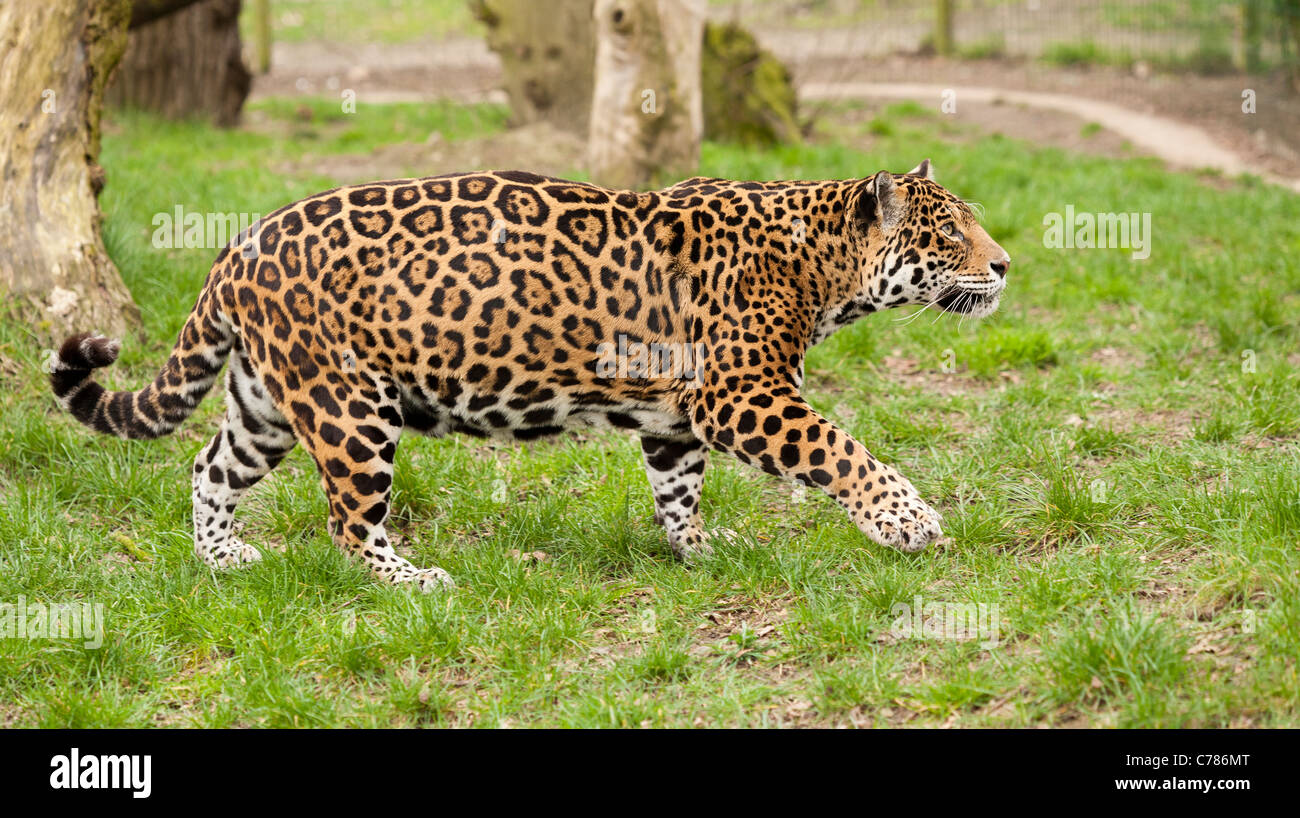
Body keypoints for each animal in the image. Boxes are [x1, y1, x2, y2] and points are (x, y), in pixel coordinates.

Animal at [49, 159, 1009, 591]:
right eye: (950, 234)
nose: (1004, 267)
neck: (823, 268)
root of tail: (235, 248)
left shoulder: (676, 417)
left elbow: (680, 491)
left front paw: (701, 550)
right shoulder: (745, 395)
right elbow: (843, 451)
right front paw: (908, 522)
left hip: (267, 404)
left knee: (209, 468)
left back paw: (222, 558)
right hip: (349, 411)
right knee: (348, 524)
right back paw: (414, 582)